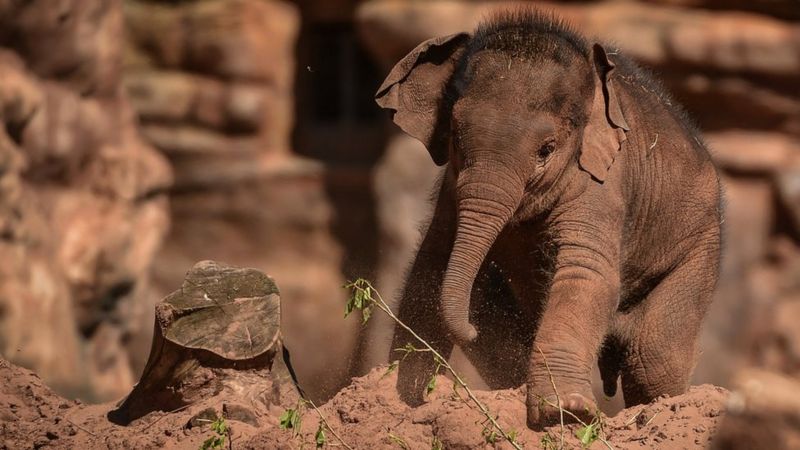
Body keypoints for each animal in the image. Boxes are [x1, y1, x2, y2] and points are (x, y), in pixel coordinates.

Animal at [375, 11, 722, 428]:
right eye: (455, 137)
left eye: (546, 150)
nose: (468, 329)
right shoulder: (451, 190)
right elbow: (434, 259)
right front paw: (402, 395)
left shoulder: (602, 184)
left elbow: (586, 272)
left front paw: (566, 412)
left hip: (700, 247)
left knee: (654, 359)